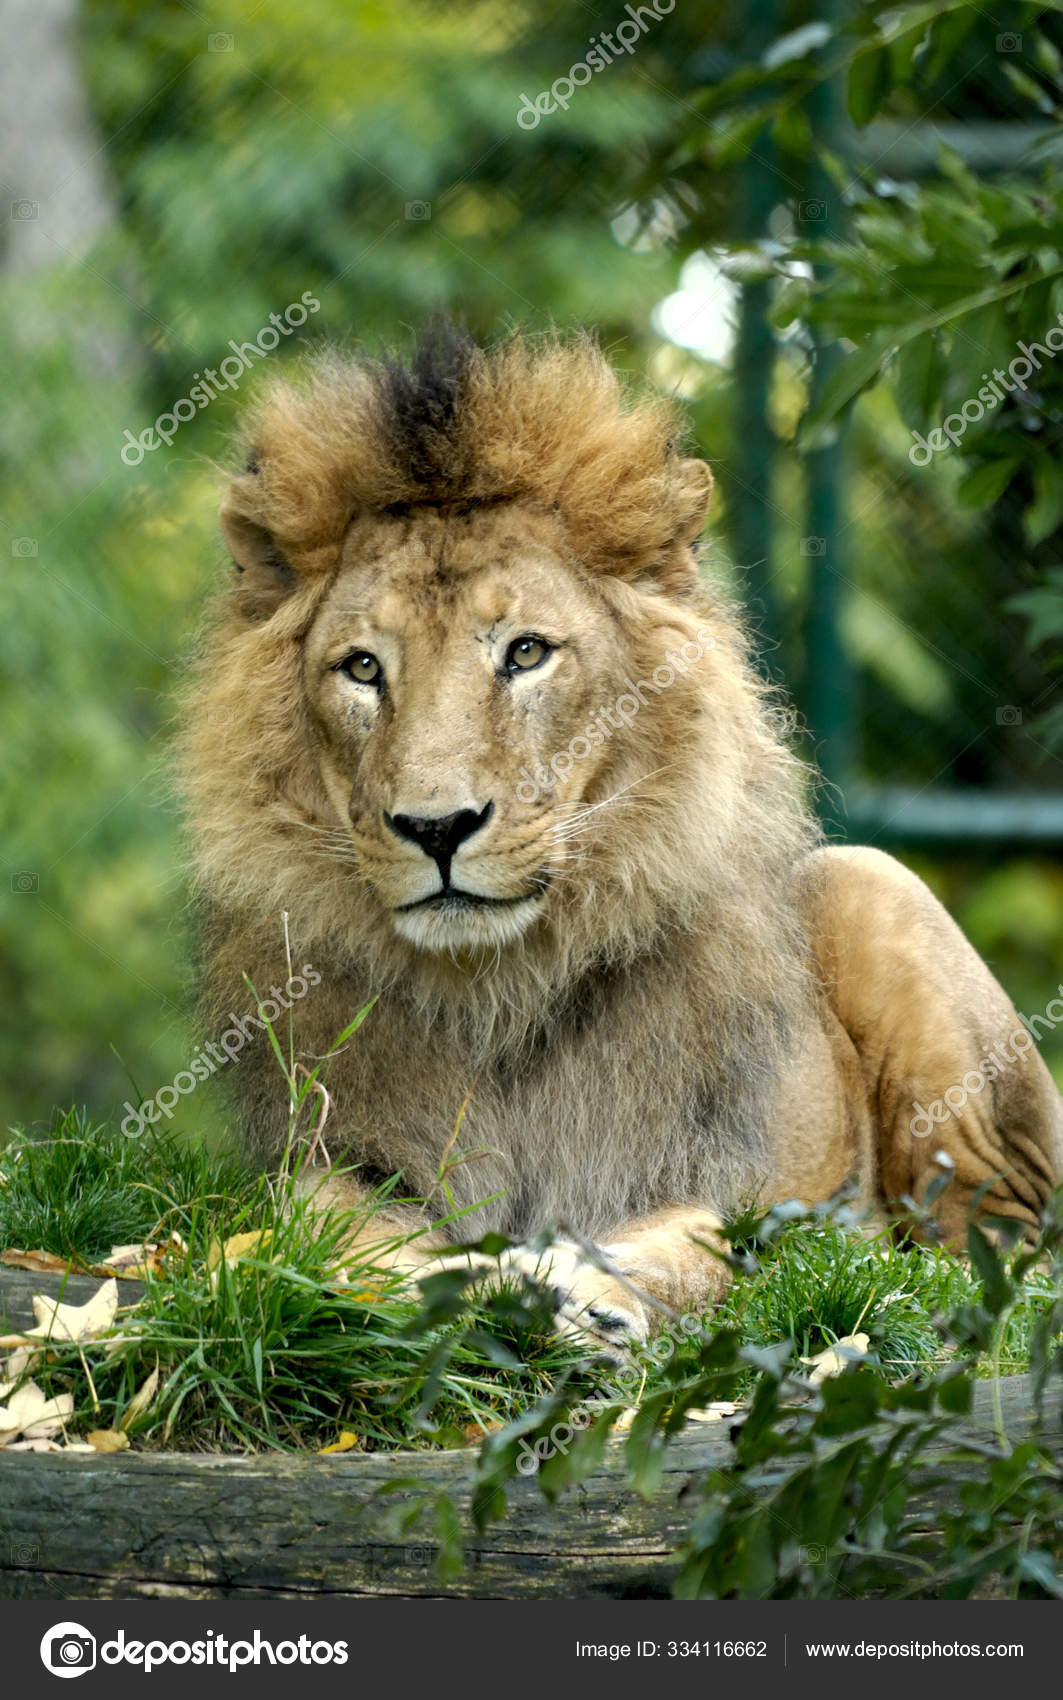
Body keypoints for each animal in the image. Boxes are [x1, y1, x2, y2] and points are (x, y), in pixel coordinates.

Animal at [180, 326, 1063, 1355]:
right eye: (361, 668)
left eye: (525, 652)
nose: (436, 827)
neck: (500, 989)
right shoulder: (330, 1147)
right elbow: (318, 1221)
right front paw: (392, 1282)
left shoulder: (754, 1181)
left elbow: (711, 1239)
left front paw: (585, 1287)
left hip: (873, 891)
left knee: (987, 1251)